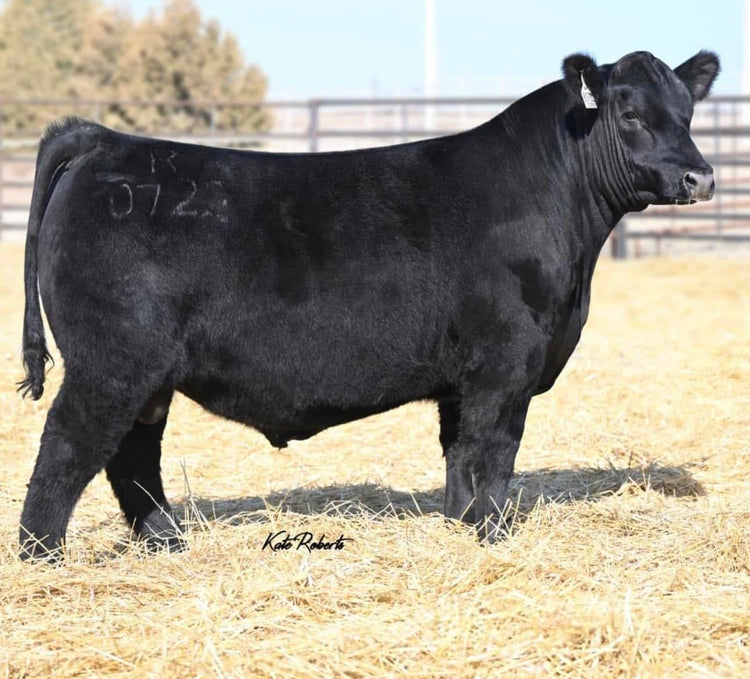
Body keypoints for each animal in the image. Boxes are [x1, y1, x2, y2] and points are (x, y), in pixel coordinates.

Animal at [17, 50, 719, 560]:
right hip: (112, 362)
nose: (701, 177)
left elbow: (458, 456)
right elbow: (493, 454)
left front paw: (459, 527)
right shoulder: (505, 365)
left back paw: (166, 544)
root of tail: (106, 141)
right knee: (69, 447)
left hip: (146, 375)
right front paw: (493, 536)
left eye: (688, 110)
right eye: (629, 112)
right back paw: (42, 559)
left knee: (133, 454)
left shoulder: (462, 379)